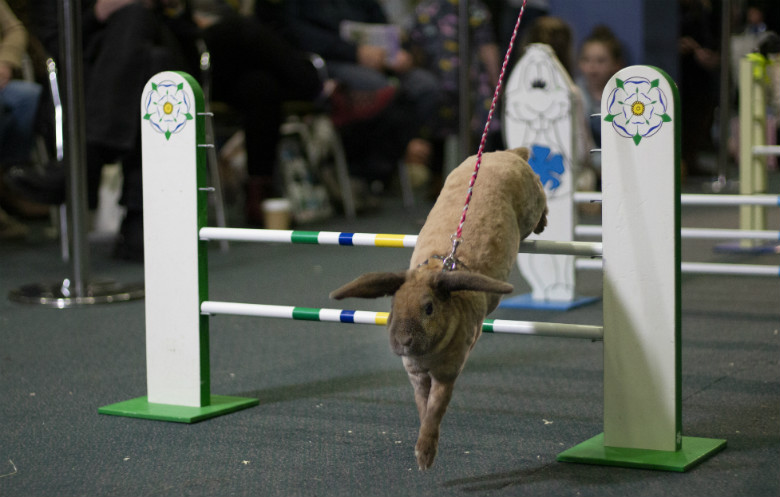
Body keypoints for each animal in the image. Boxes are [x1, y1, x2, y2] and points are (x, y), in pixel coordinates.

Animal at [330, 147, 547, 470]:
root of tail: (506, 153)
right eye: (392, 305)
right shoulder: (417, 375)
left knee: (543, 200)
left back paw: (544, 224)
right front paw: (423, 448)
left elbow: (435, 408)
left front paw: (425, 456)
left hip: (532, 202)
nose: (403, 342)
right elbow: (424, 407)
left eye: (429, 308)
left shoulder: (448, 371)